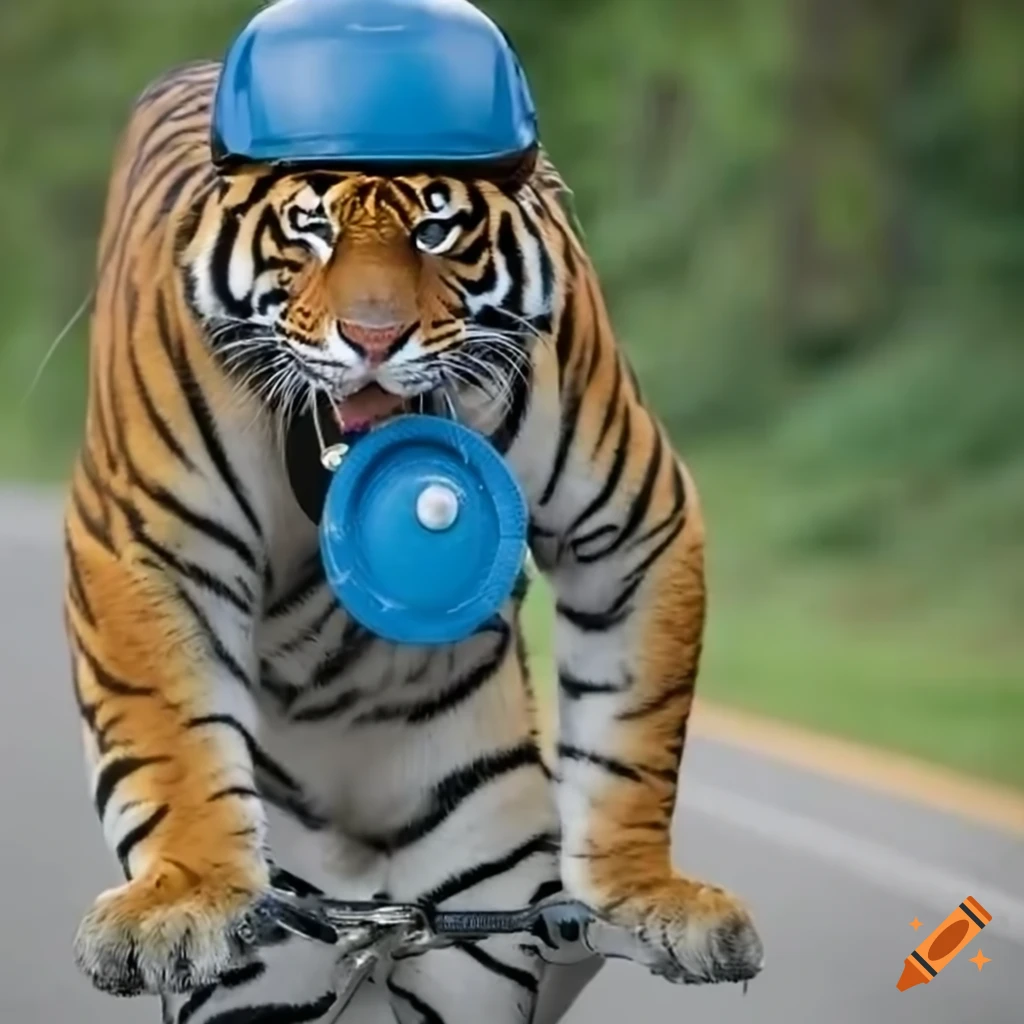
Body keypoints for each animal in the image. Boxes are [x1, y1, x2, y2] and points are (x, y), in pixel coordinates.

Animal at [62, 52, 763, 1024]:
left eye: (434, 231)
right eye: (312, 231)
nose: (373, 337)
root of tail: (375, 913)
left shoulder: (632, 518)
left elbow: (633, 730)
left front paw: (640, 893)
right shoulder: (145, 542)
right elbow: (166, 724)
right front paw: (184, 901)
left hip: (475, 915)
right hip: (278, 965)